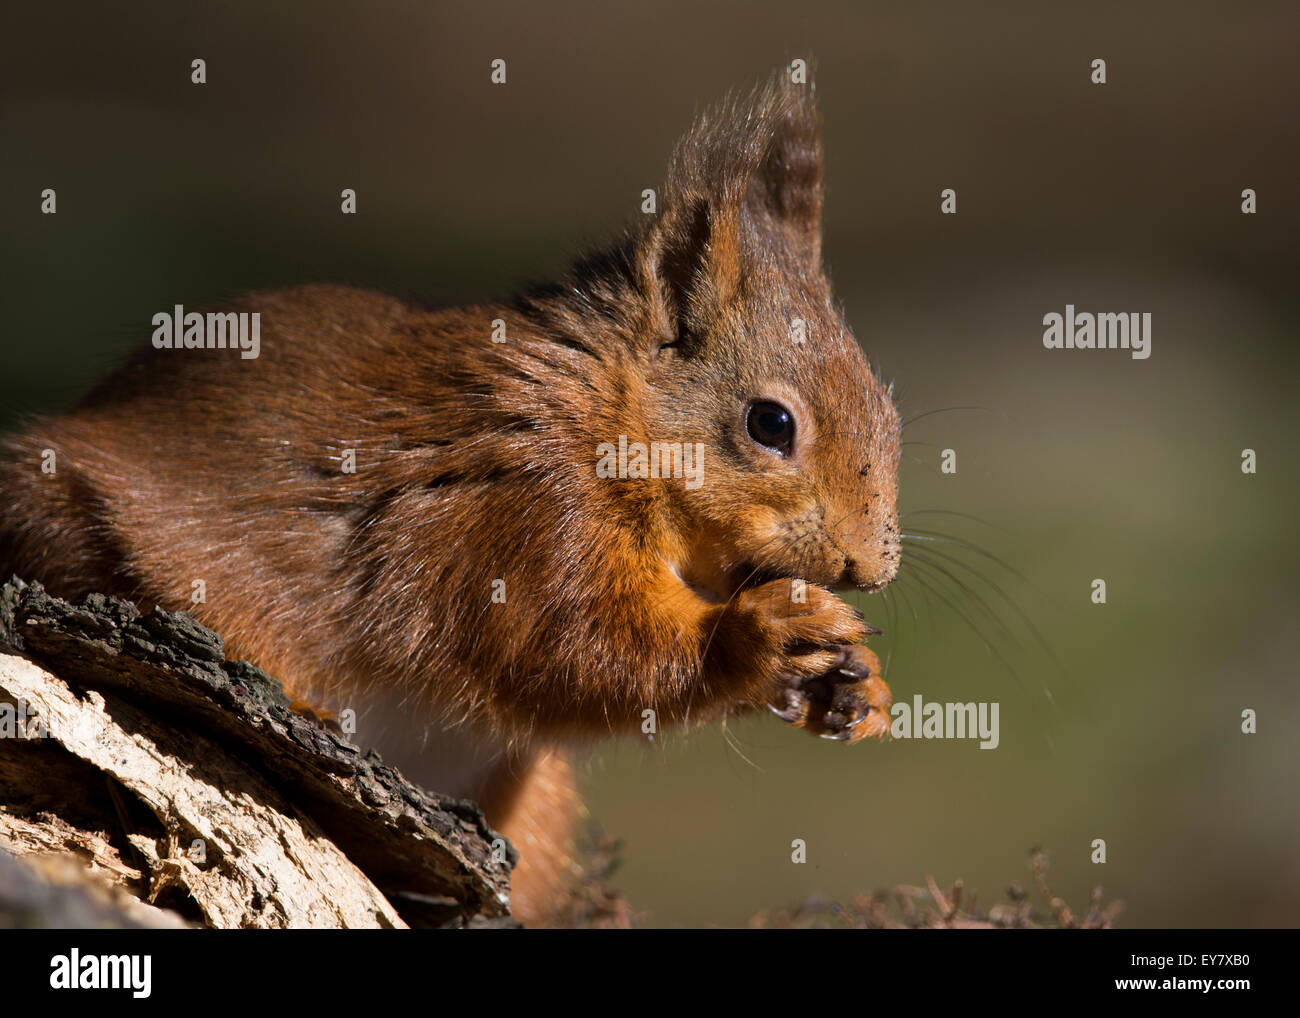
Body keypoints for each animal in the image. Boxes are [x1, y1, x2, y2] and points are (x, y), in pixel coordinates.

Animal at [0, 72, 901, 926]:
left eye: (892, 414)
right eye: (771, 423)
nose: (873, 568)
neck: (605, 419)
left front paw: (860, 690)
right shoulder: (517, 515)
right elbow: (573, 649)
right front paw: (759, 634)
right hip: (62, 513)